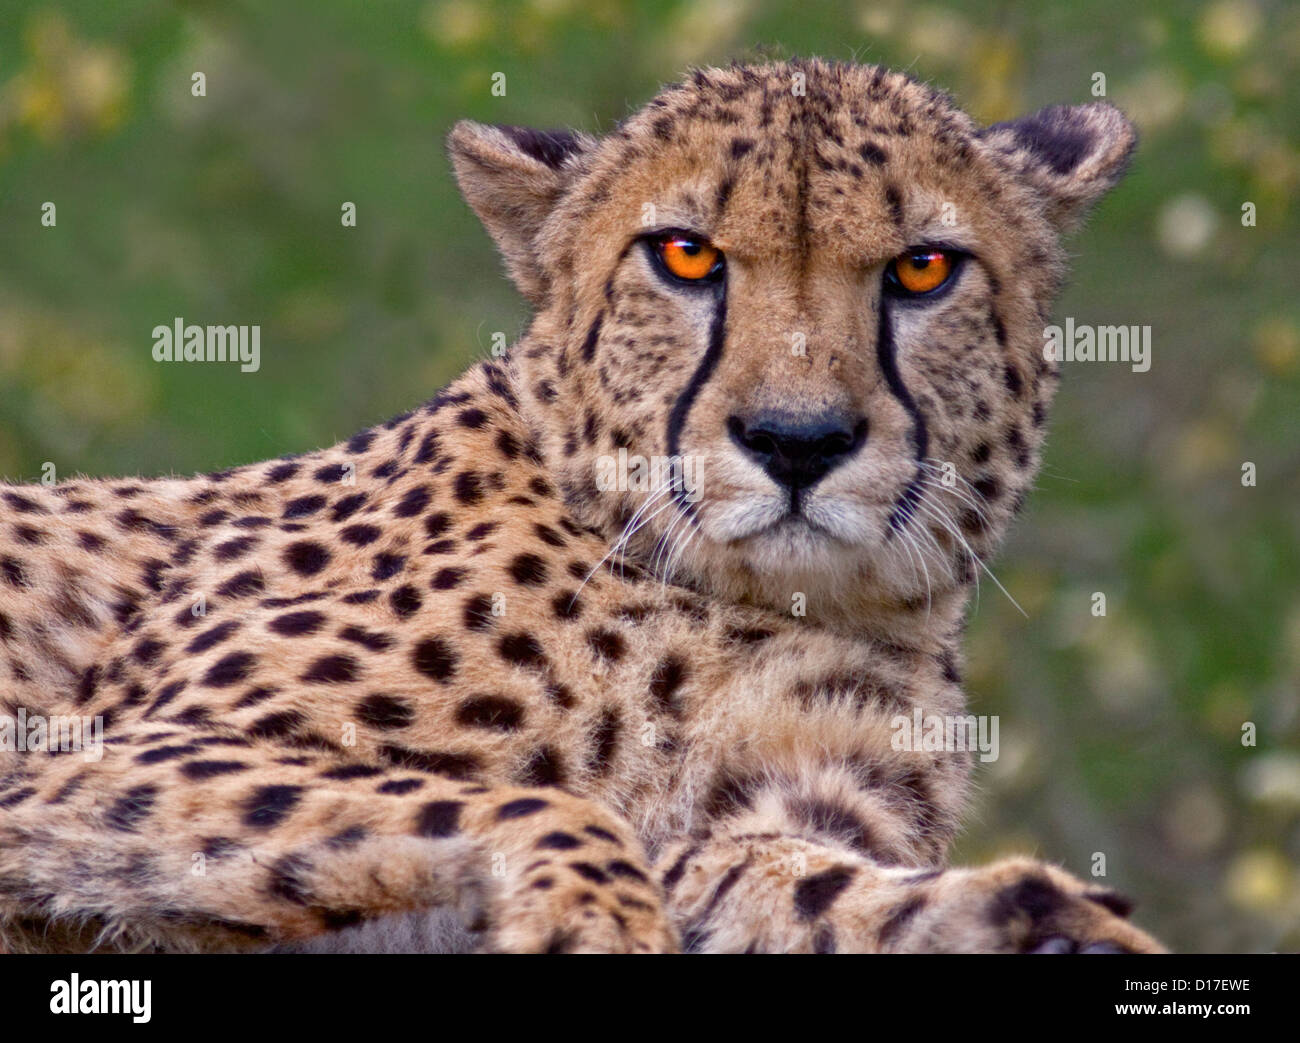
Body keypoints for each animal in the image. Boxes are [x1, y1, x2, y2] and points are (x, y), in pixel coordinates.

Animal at [0, 59, 1162, 954]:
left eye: (923, 269)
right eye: (684, 254)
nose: (797, 440)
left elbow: (767, 872)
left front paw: (1026, 915)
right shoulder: (81, 758)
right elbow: (527, 798)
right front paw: (593, 914)